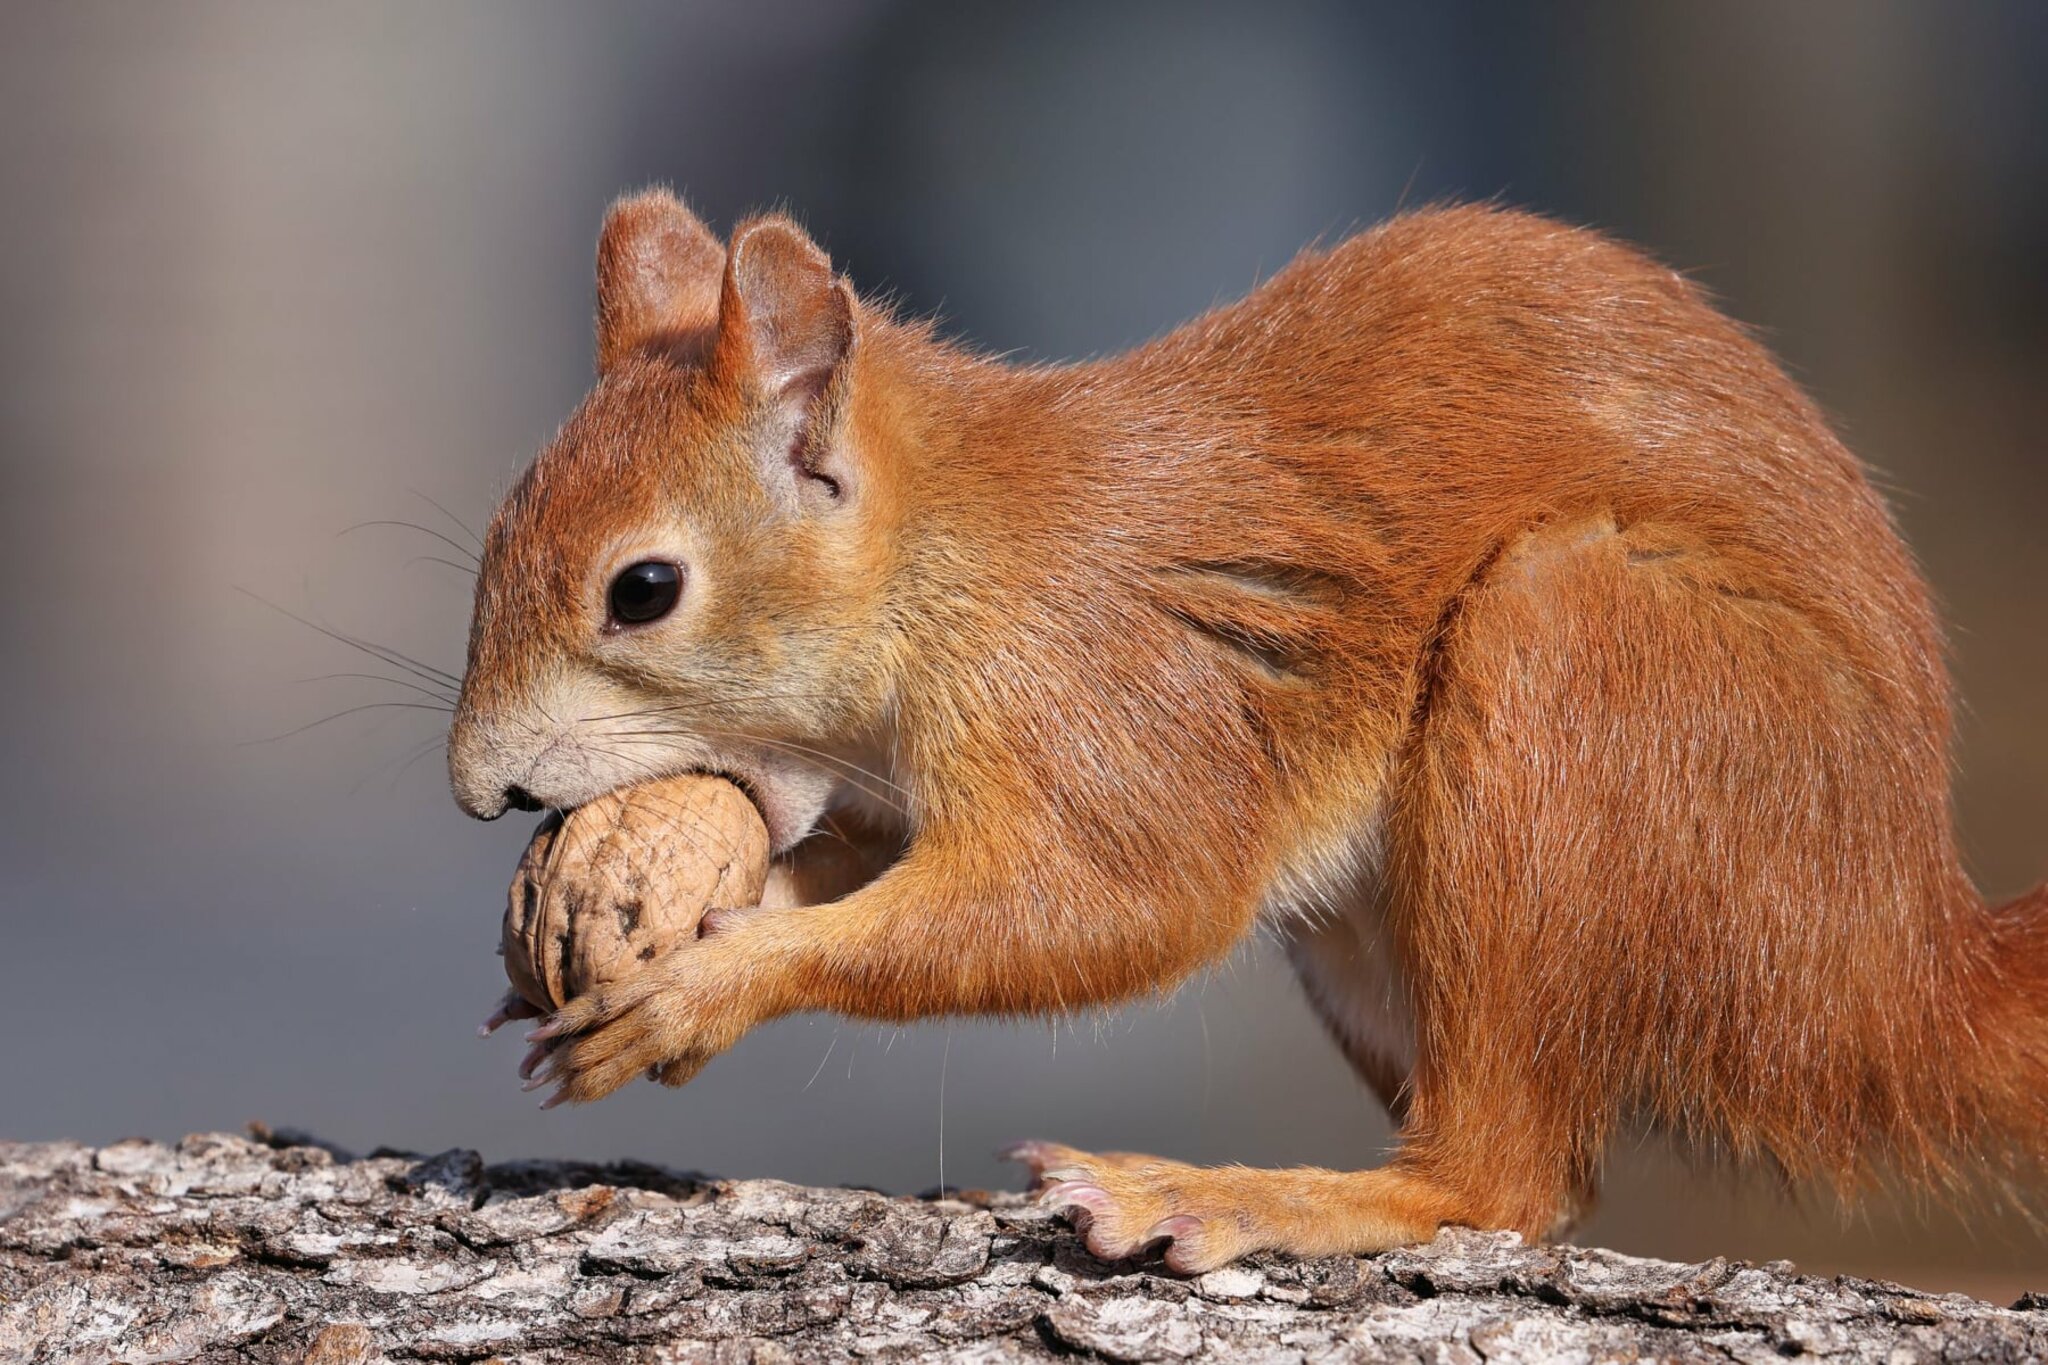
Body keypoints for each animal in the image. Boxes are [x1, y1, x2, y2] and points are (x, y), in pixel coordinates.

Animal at [448, 188, 2048, 1273]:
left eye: (644, 590)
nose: (481, 792)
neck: (950, 556)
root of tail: (1894, 971)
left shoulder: (1103, 689)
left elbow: (1116, 901)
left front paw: (714, 981)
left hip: (1588, 673)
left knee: (1498, 1184)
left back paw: (1242, 1195)